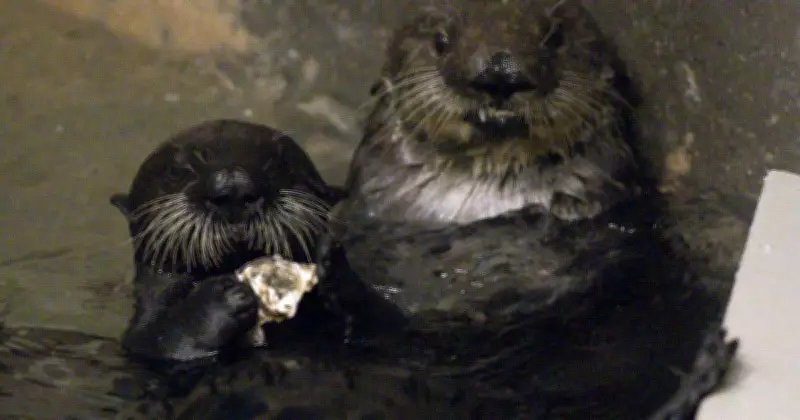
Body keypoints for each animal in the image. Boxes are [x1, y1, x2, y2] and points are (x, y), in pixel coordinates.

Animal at [111, 119, 342, 362]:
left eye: (283, 162)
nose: (234, 184)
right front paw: (222, 298)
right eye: (174, 170)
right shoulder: (143, 340)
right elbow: (155, 340)